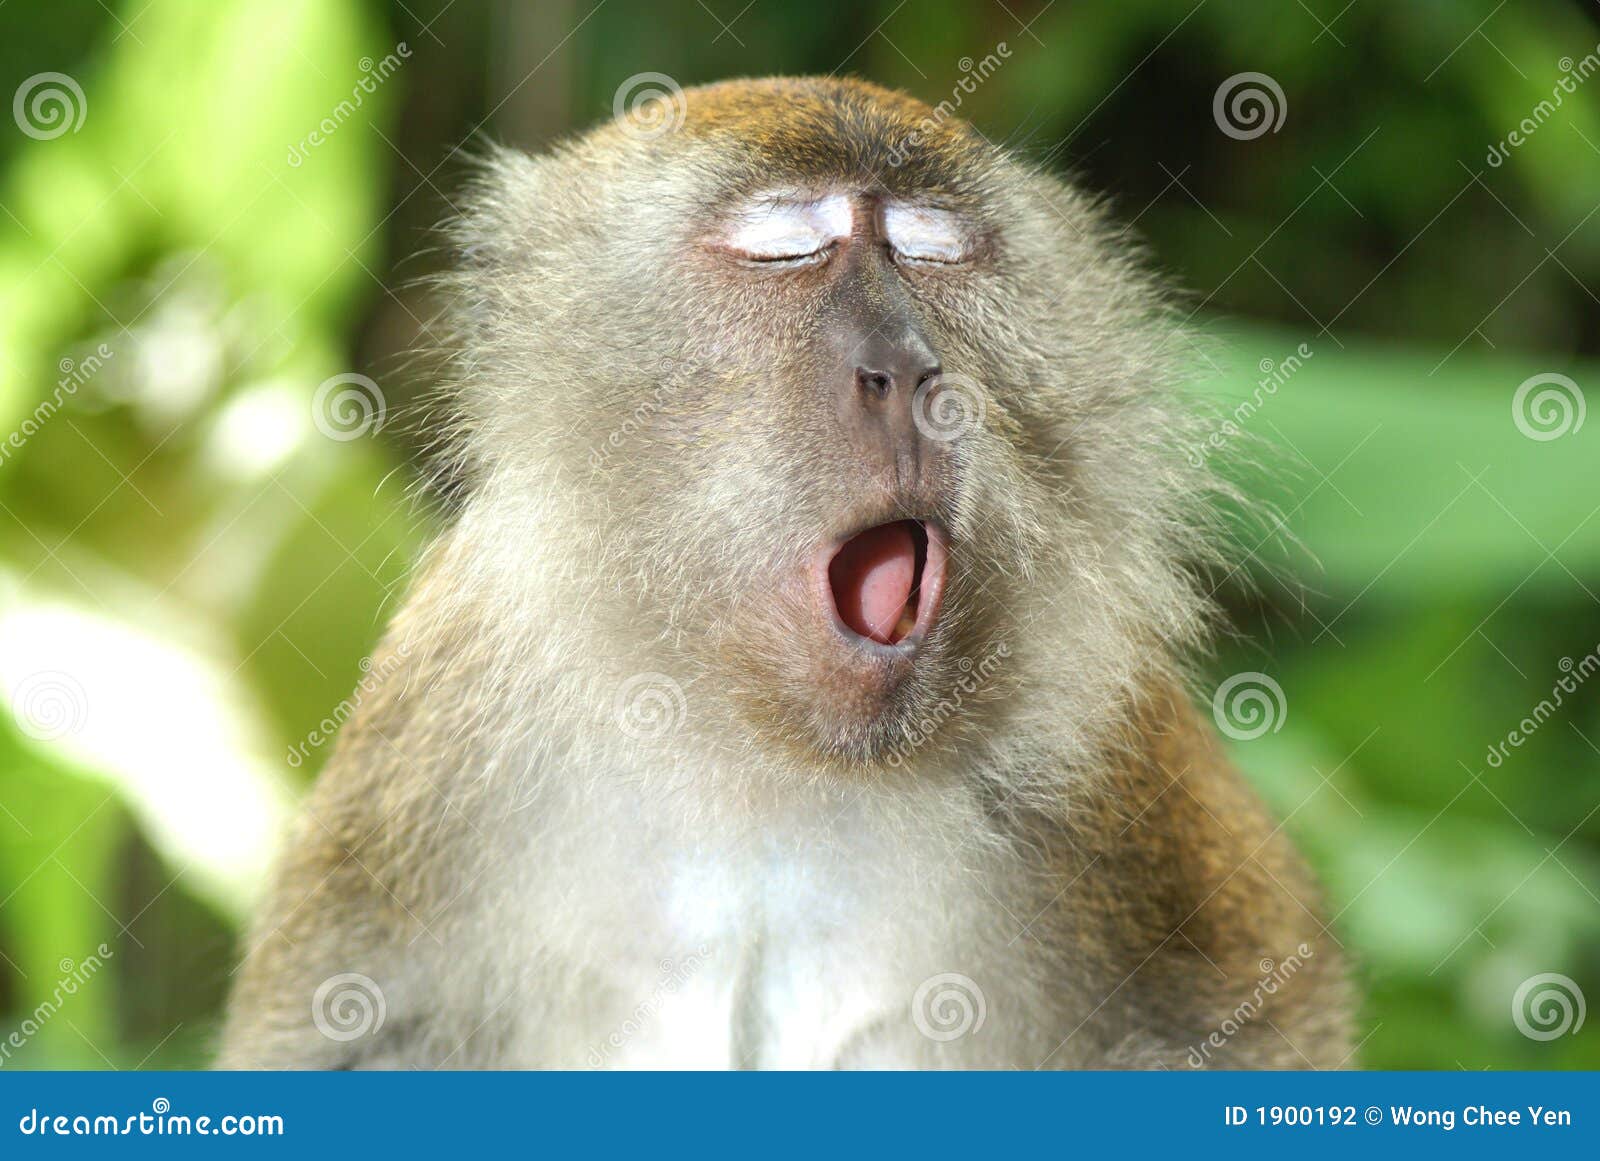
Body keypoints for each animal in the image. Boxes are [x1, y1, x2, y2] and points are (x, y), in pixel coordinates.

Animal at [218, 77, 1353, 1069]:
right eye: (785, 248)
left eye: (932, 249)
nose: (909, 369)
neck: (775, 768)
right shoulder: (435, 720)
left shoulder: (1105, 746)